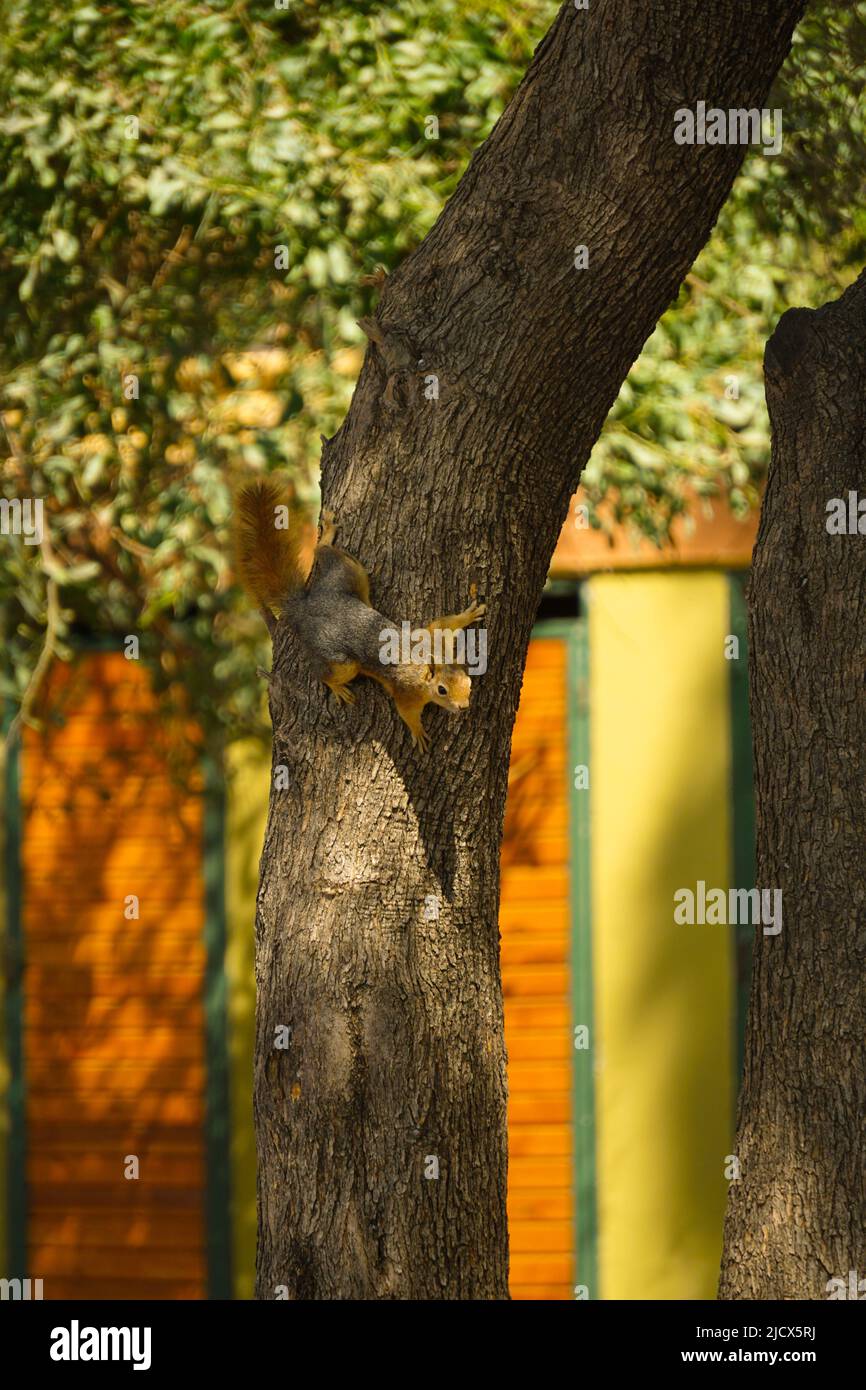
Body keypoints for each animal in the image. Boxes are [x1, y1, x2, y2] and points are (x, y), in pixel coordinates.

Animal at [234, 480, 485, 752]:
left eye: (468, 683)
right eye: (441, 690)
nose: (463, 706)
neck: (430, 662)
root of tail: (305, 607)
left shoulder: (436, 638)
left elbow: (441, 624)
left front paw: (469, 615)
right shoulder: (406, 692)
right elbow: (406, 712)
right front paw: (418, 732)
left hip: (348, 573)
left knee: (324, 552)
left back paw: (327, 535)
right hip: (341, 659)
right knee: (322, 672)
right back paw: (337, 687)